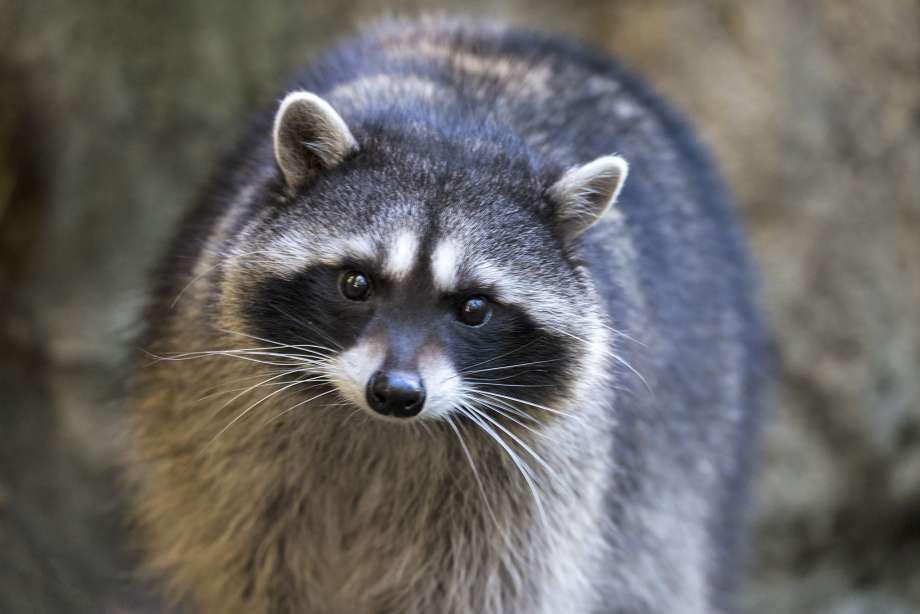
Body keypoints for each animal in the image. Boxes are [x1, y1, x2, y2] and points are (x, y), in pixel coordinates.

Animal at [130, 17, 765, 614]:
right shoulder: (227, 456)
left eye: (474, 308)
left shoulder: (535, 498)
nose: (395, 393)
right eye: (356, 283)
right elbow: (243, 564)